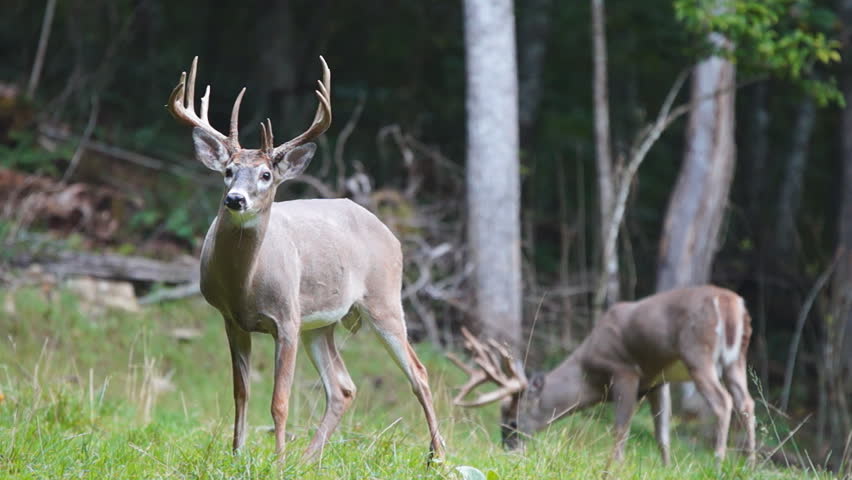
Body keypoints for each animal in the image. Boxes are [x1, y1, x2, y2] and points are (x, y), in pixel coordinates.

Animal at [166, 57, 445, 461]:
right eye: (228, 171)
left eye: (266, 174)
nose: (235, 199)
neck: (244, 285)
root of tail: (390, 234)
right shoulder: (232, 320)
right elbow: (240, 394)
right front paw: (237, 455)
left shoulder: (287, 318)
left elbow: (279, 401)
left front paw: (278, 462)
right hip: (321, 323)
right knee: (343, 386)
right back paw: (310, 459)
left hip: (384, 299)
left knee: (419, 372)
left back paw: (437, 457)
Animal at [450, 285, 755, 467]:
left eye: (512, 422)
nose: (508, 449)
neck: (588, 371)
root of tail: (731, 303)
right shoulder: (657, 381)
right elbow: (663, 434)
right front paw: (667, 468)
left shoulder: (625, 371)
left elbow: (620, 429)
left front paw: (614, 467)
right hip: (736, 360)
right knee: (746, 403)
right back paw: (749, 465)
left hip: (698, 354)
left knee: (723, 402)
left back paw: (718, 462)